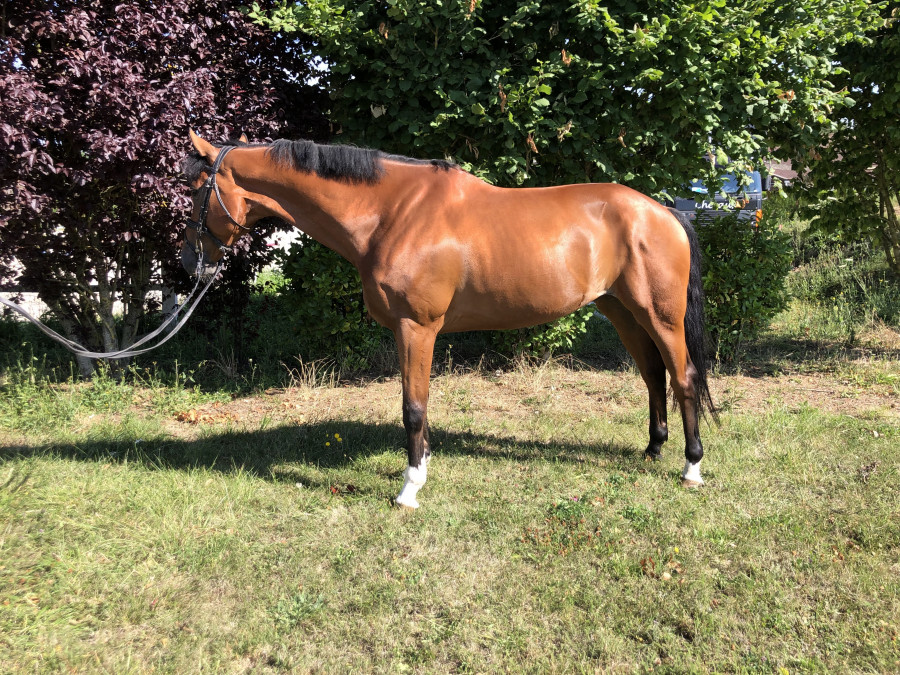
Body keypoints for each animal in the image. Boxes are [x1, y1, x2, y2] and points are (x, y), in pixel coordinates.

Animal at [182, 130, 715, 509]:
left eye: (195, 190)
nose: (190, 265)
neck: (391, 212)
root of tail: (664, 211)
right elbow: (418, 403)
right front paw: (424, 463)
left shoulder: (417, 326)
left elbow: (413, 407)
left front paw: (410, 488)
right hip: (621, 310)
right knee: (653, 375)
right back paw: (652, 450)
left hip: (660, 316)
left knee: (683, 377)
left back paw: (691, 467)